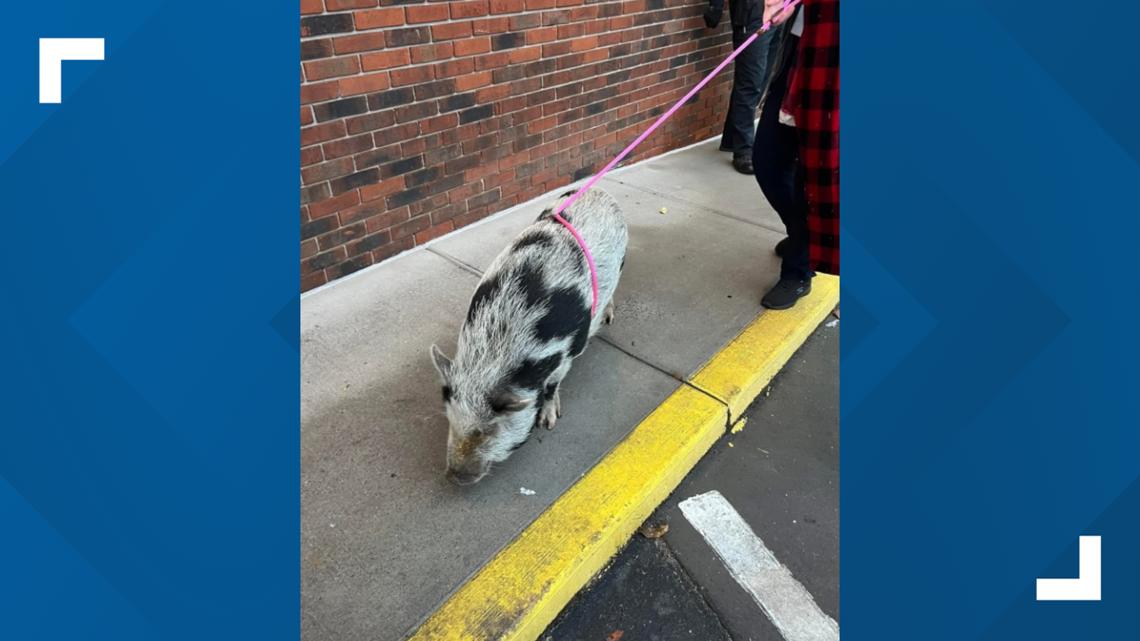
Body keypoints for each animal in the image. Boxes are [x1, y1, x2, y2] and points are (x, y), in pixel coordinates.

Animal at [430, 188, 628, 486]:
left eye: (488, 429)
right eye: (451, 420)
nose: (455, 478)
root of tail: (600, 191)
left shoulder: (569, 351)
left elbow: (551, 386)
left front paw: (549, 422)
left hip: (620, 262)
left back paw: (608, 317)